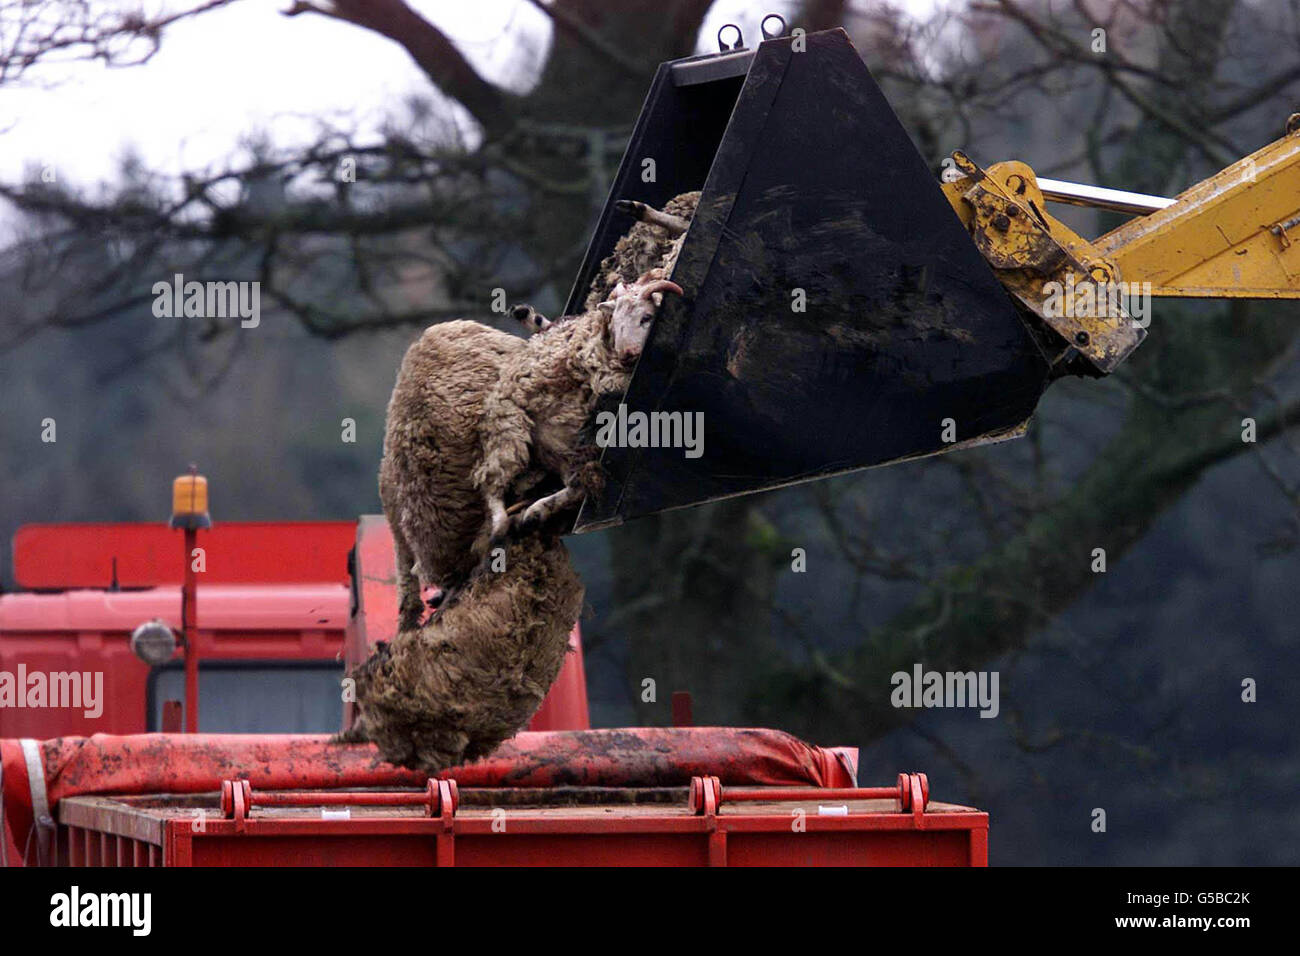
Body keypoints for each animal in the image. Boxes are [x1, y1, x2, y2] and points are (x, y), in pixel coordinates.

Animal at [474, 268, 683, 542]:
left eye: (646, 317)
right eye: (617, 321)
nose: (628, 353)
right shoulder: (606, 377)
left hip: (564, 449)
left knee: (576, 487)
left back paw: (535, 513)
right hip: (509, 431)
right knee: (492, 483)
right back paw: (499, 527)